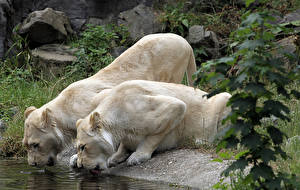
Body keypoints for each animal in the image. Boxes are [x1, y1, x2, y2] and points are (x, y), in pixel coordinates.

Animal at [22, 33, 197, 167]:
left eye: (35, 144)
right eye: (25, 144)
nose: (33, 164)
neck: (69, 103)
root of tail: (186, 43)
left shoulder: (95, 99)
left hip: (171, 61)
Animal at [74, 79, 231, 173]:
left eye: (83, 146)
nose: (81, 165)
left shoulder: (139, 106)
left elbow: (174, 109)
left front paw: (136, 157)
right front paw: (116, 156)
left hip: (221, 103)